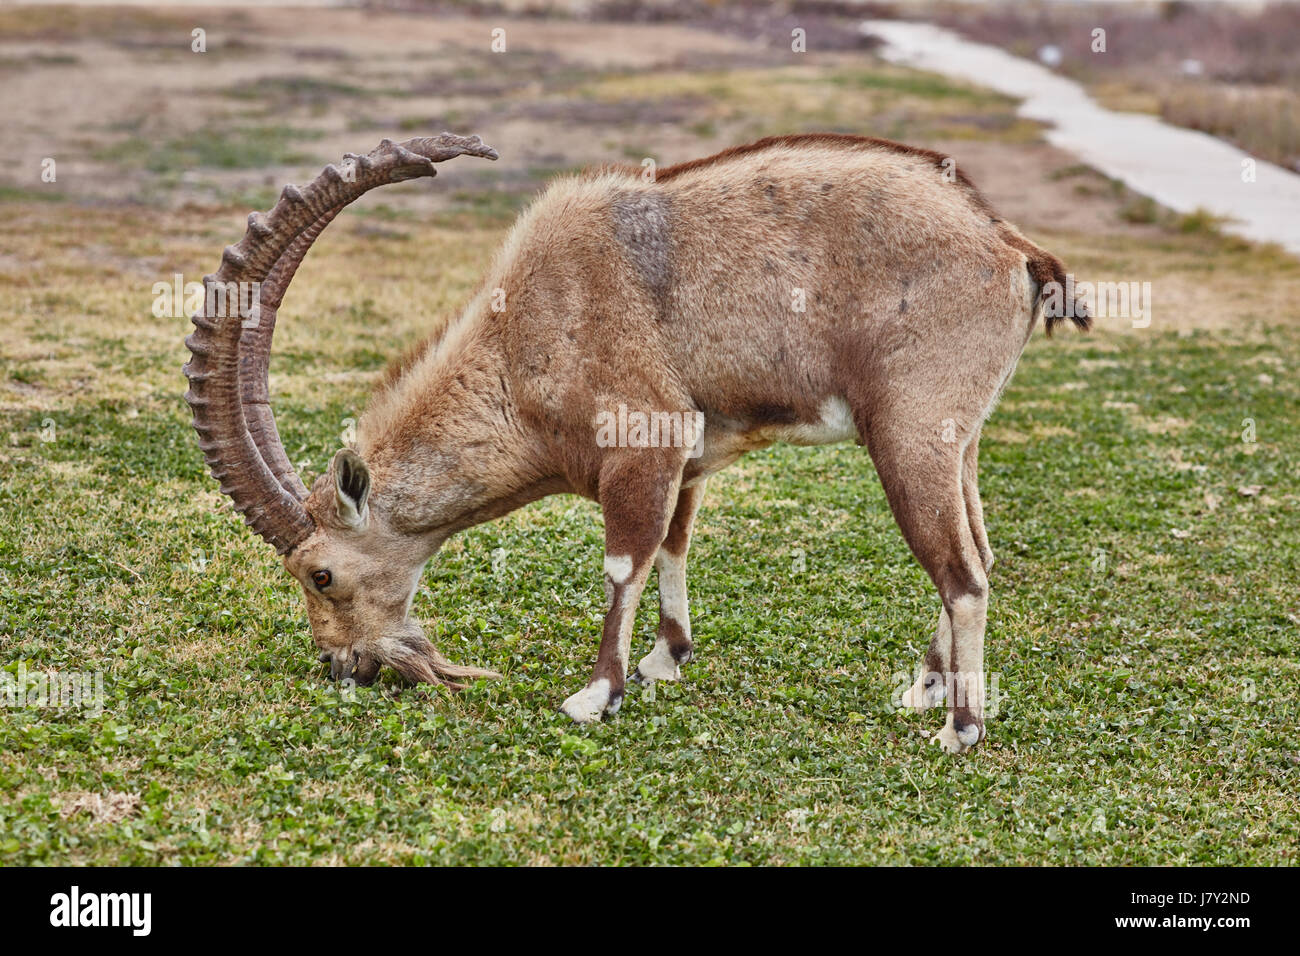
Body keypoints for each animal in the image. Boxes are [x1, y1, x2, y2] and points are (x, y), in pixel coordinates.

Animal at [184, 131, 1088, 753]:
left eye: (321, 574)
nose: (347, 667)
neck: (524, 338)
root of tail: (1015, 250)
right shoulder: (688, 455)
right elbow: (674, 545)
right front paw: (666, 660)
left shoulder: (642, 440)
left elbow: (624, 558)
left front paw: (597, 694)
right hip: (956, 443)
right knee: (979, 550)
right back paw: (926, 688)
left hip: (910, 434)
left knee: (962, 571)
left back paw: (961, 728)